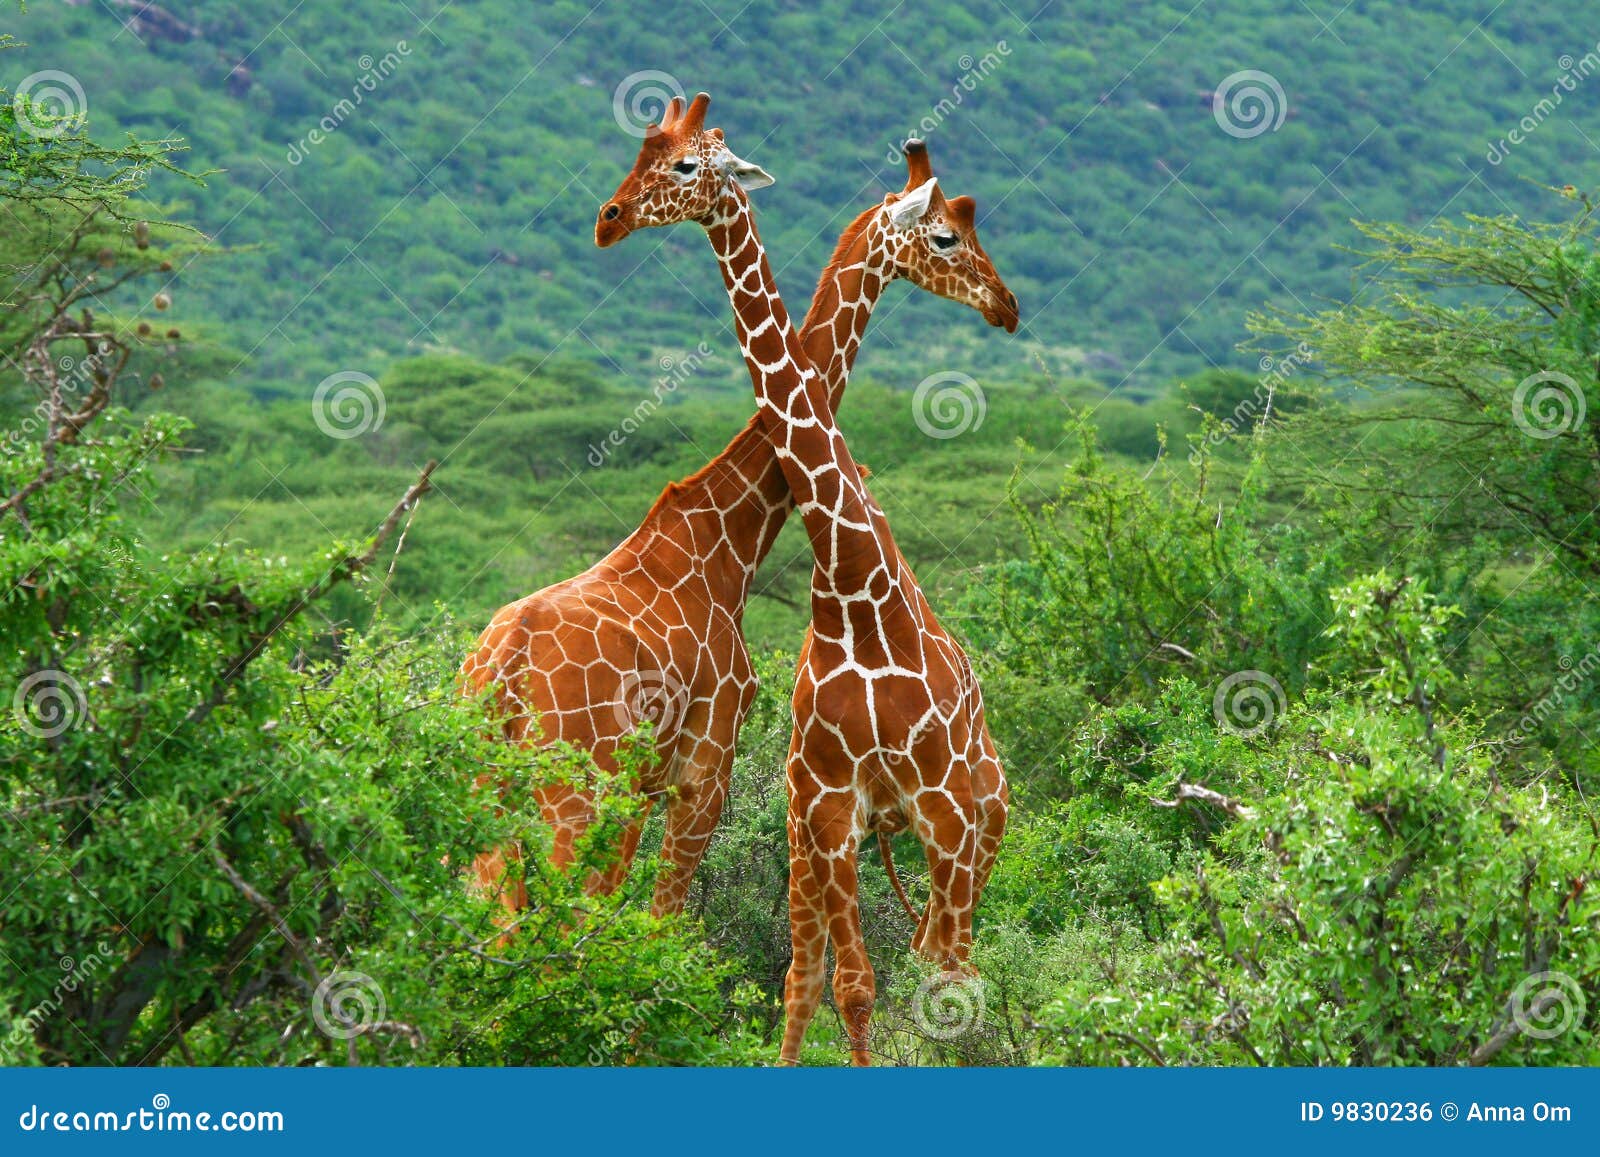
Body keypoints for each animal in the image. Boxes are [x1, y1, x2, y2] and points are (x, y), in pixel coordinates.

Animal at [462, 102, 1017, 921]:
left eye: (678, 162)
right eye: (948, 233)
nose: (1006, 304)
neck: (730, 537)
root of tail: (501, 669)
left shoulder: (651, 782)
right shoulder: (705, 767)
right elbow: (659, 922)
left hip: (488, 788)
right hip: (572, 793)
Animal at [596, 92, 1014, 1065]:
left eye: (684, 164)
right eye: (948, 235)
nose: (1008, 306)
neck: (855, 584)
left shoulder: (940, 807)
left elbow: (932, 981)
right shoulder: (825, 804)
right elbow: (845, 983)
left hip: (979, 821)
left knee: (954, 959)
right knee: (829, 967)